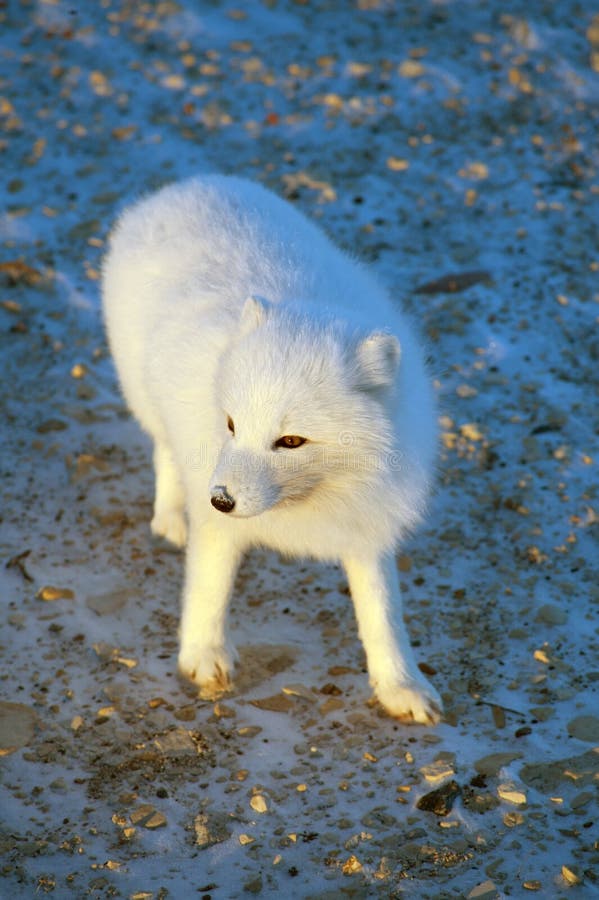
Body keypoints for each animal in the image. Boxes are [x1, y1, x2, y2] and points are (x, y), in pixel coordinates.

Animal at [102, 174, 442, 725]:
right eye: (231, 424)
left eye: (291, 441)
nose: (221, 499)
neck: (308, 499)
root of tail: (188, 184)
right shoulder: (217, 516)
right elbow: (209, 586)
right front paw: (203, 656)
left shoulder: (367, 525)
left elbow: (382, 613)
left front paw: (401, 686)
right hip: (147, 397)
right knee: (163, 450)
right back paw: (171, 516)